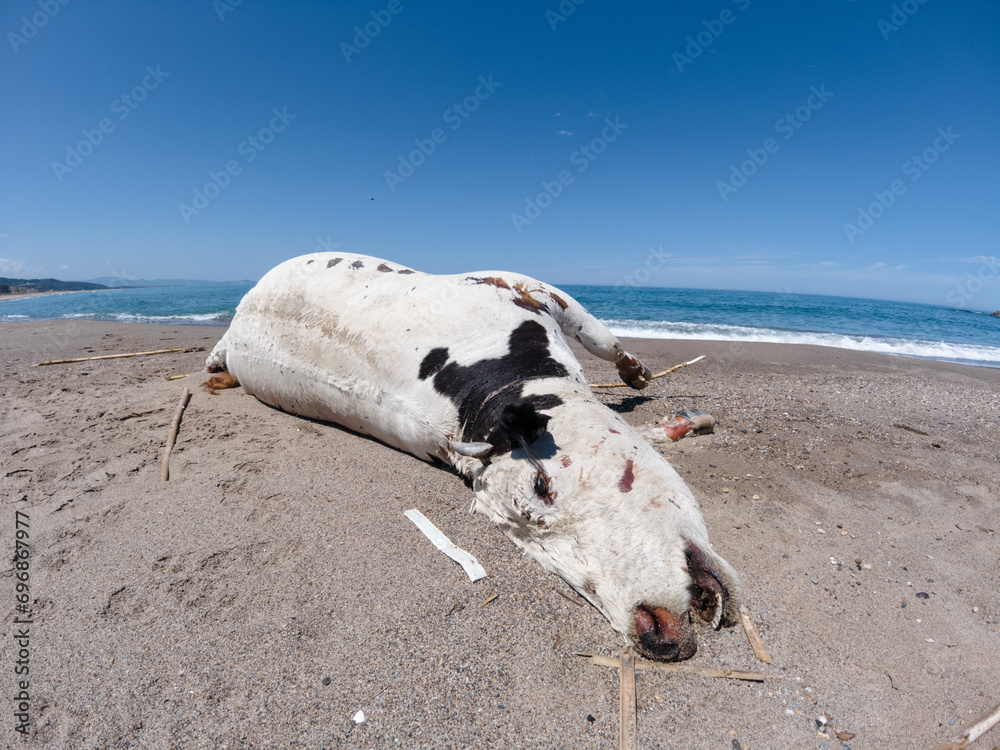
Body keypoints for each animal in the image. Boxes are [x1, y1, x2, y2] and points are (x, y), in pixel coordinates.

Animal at [205, 252, 741, 661]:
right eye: (521, 540)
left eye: (543, 485)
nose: (653, 629)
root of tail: (236, 324)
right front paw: (668, 403)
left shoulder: (517, 284)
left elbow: (600, 337)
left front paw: (645, 383)